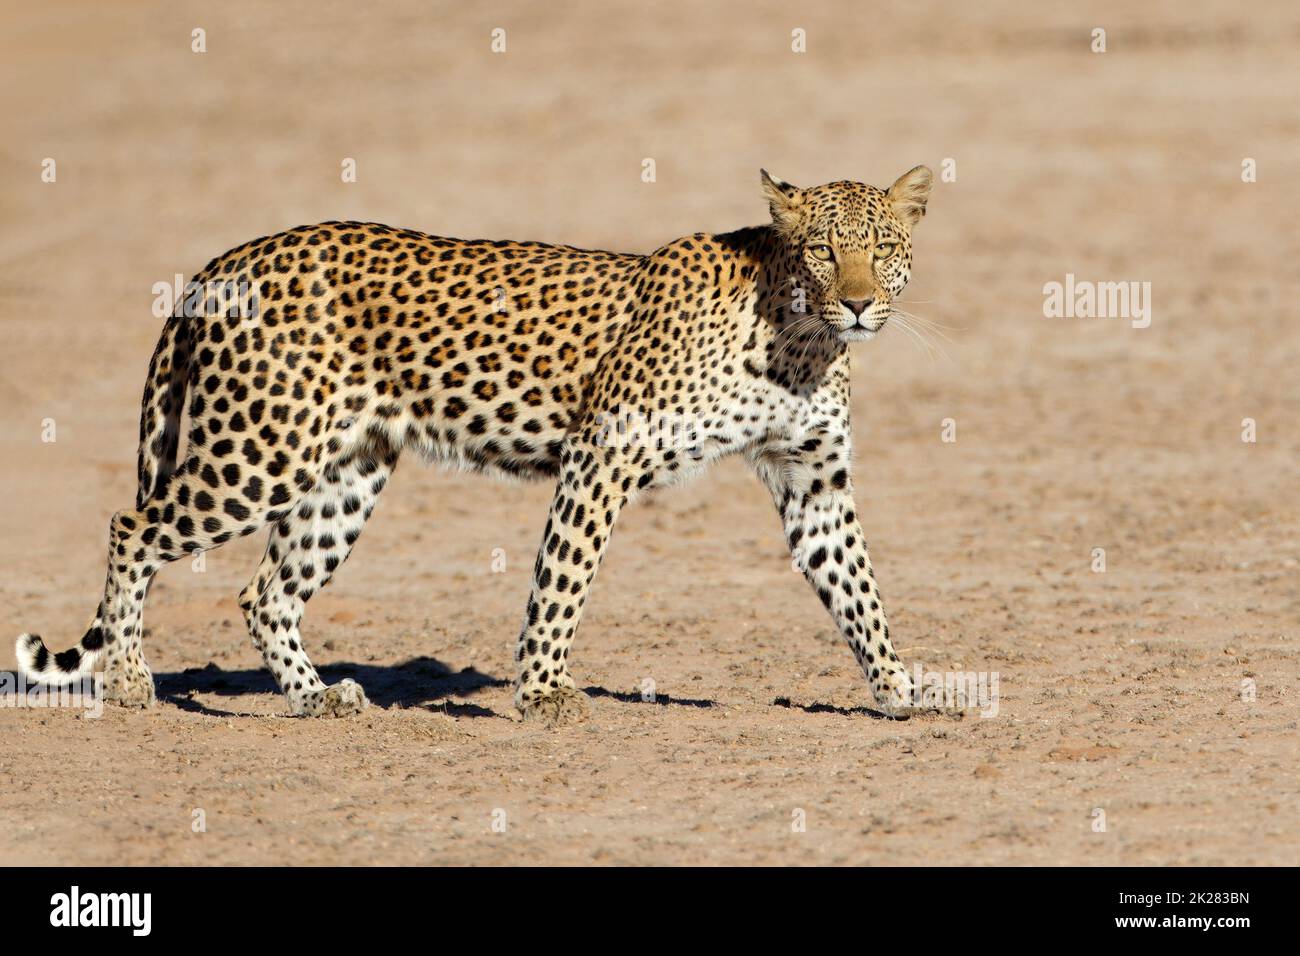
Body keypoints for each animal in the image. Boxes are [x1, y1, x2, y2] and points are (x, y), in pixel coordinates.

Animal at [15, 166, 935, 723]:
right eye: (824, 250)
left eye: (884, 249)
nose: (859, 304)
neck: (799, 342)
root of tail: (224, 261)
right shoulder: (601, 456)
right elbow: (564, 582)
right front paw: (544, 693)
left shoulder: (814, 482)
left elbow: (859, 591)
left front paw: (900, 687)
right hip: (259, 452)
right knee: (130, 530)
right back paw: (129, 681)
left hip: (345, 474)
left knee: (264, 593)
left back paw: (315, 700)